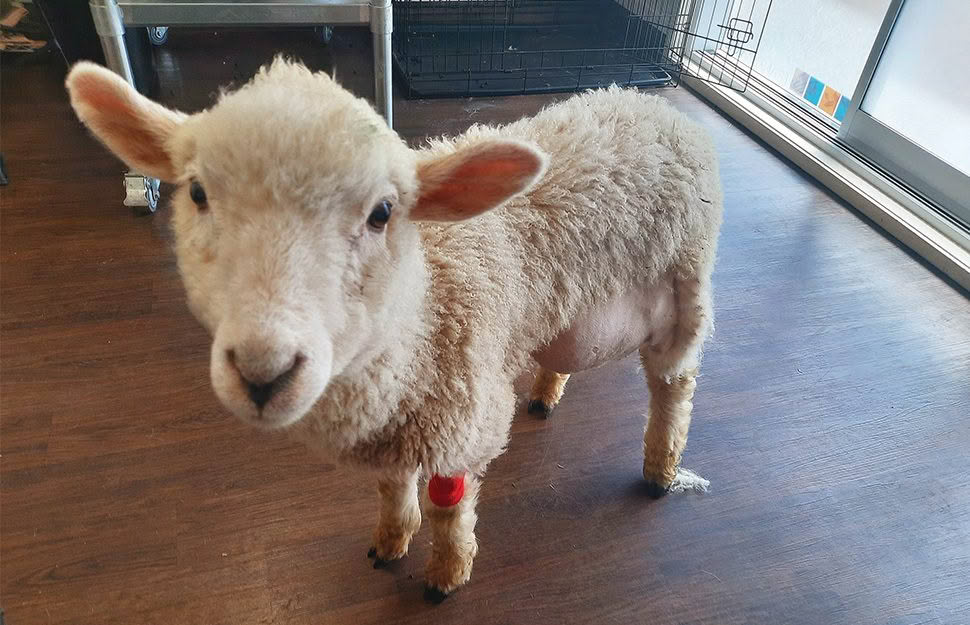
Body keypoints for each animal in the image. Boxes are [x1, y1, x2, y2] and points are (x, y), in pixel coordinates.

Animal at [66, 57, 723, 602]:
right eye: (198, 192)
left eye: (383, 213)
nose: (262, 373)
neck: (422, 311)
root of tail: (652, 102)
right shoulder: (398, 425)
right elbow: (390, 487)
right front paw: (391, 538)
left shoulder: (461, 417)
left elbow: (449, 509)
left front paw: (446, 573)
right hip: (570, 308)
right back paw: (545, 390)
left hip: (683, 288)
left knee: (675, 385)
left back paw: (661, 468)